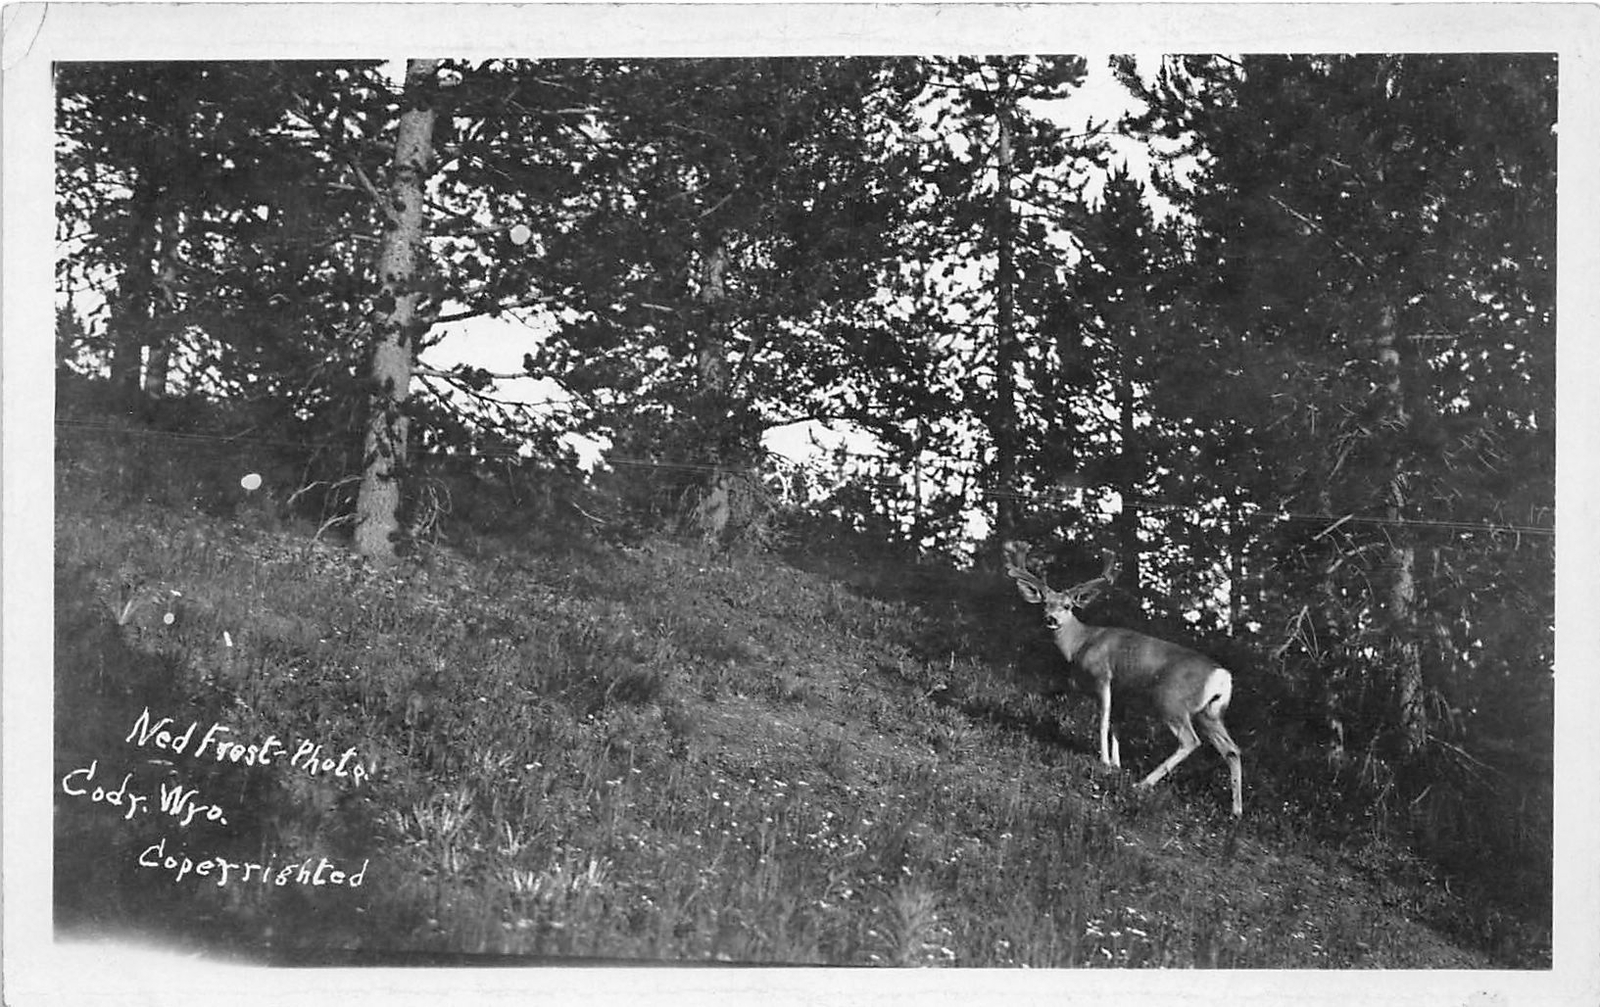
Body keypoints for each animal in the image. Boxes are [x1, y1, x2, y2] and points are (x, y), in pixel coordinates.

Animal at [1004, 542, 1243, 817]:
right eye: (1045, 604)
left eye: (1067, 606)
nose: (1050, 619)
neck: (1081, 643)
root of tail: (1222, 676)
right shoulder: (1122, 690)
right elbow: (1117, 725)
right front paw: (1116, 764)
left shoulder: (1102, 676)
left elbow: (1103, 720)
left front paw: (1104, 760)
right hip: (1210, 712)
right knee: (1232, 750)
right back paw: (1236, 811)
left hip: (1172, 701)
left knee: (1190, 741)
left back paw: (1144, 784)